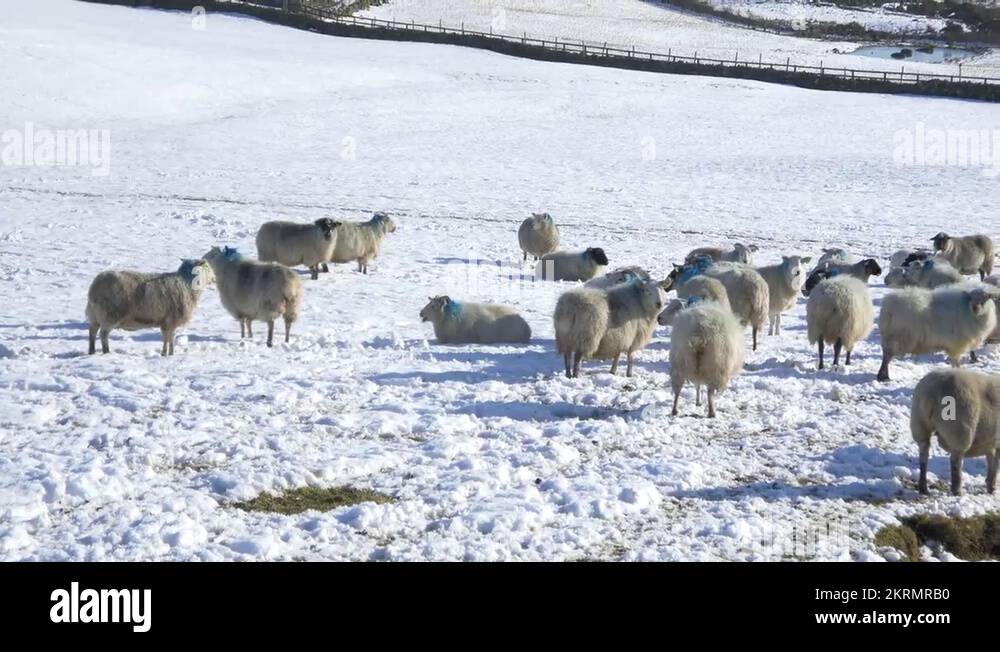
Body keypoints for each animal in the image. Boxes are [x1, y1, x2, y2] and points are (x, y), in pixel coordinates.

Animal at [85, 259, 213, 356]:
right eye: (207, 266)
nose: (214, 277)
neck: (187, 283)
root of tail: (94, 287)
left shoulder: (165, 322)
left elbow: (167, 338)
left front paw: (166, 353)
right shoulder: (171, 320)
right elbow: (169, 338)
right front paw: (169, 354)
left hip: (95, 316)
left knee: (92, 332)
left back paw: (91, 351)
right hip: (110, 315)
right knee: (103, 334)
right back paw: (106, 352)